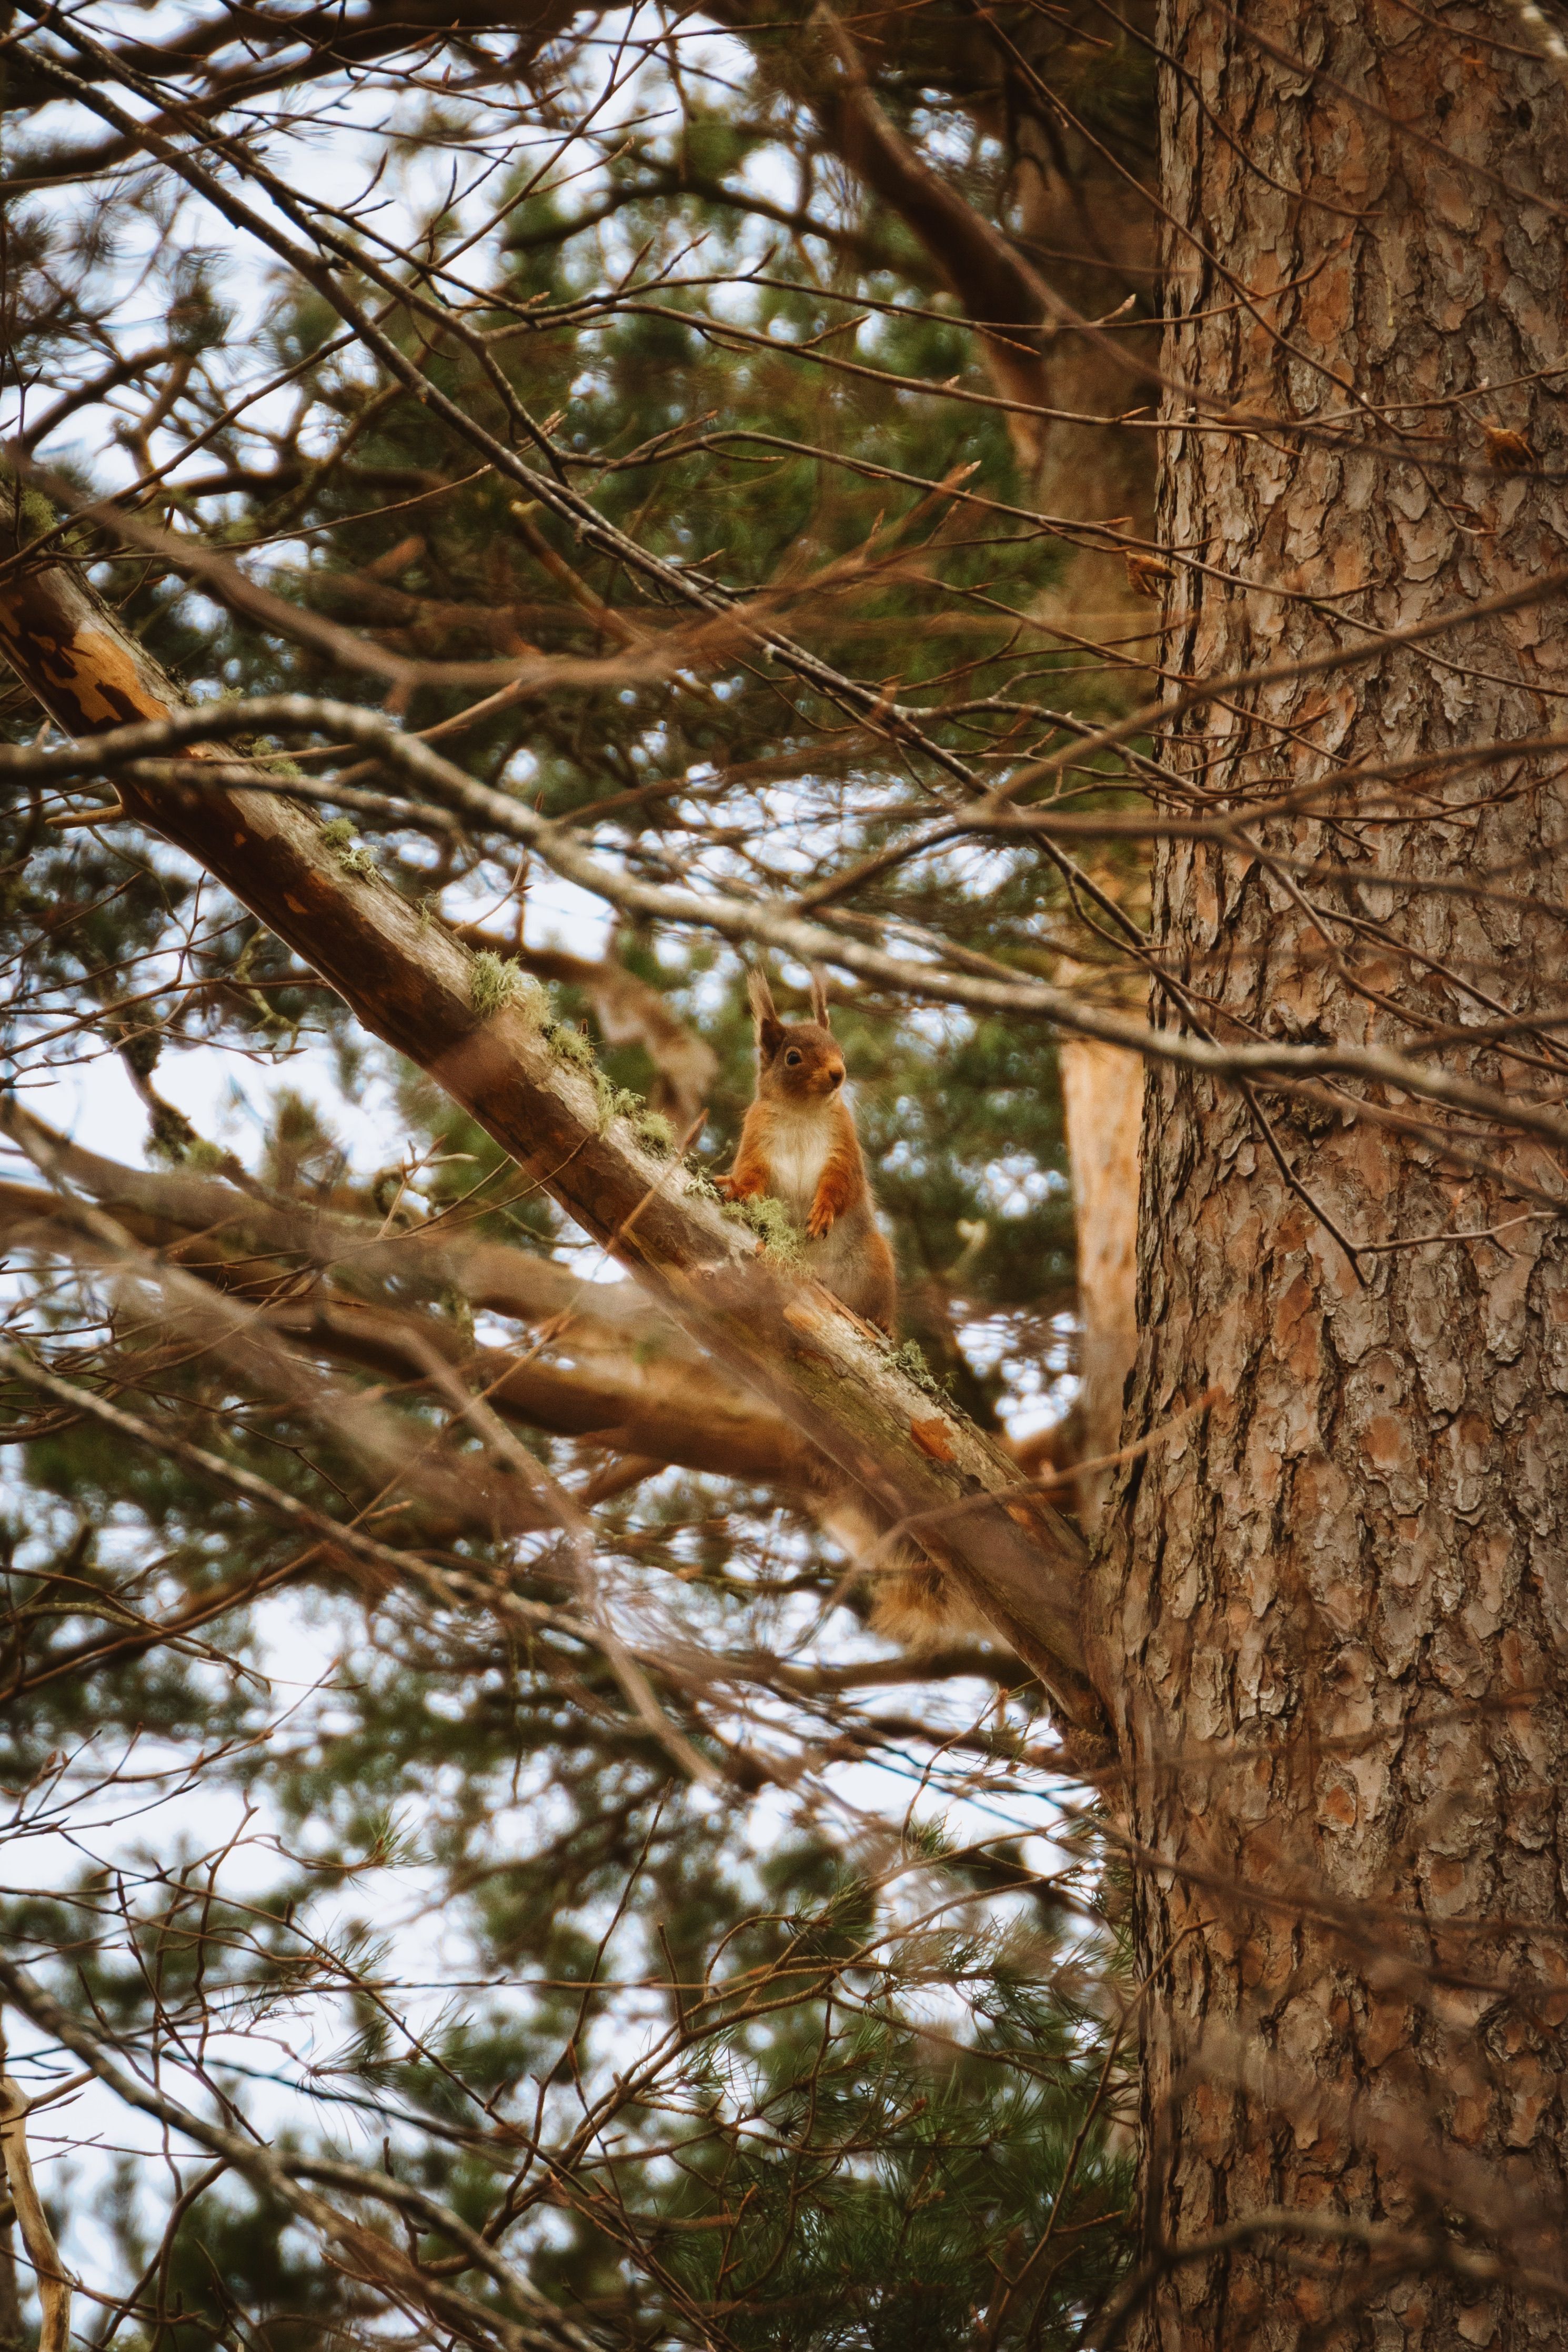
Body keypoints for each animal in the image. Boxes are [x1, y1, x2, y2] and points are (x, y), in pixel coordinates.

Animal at [716, 967, 897, 1334]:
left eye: (841, 1052)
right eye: (793, 1058)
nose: (838, 1073)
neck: (802, 1111)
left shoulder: (843, 1145)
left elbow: (841, 1182)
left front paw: (823, 1211)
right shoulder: (757, 1139)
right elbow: (751, 1172)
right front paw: (738, 1188)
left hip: (873, 1259)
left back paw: (883, 1324)